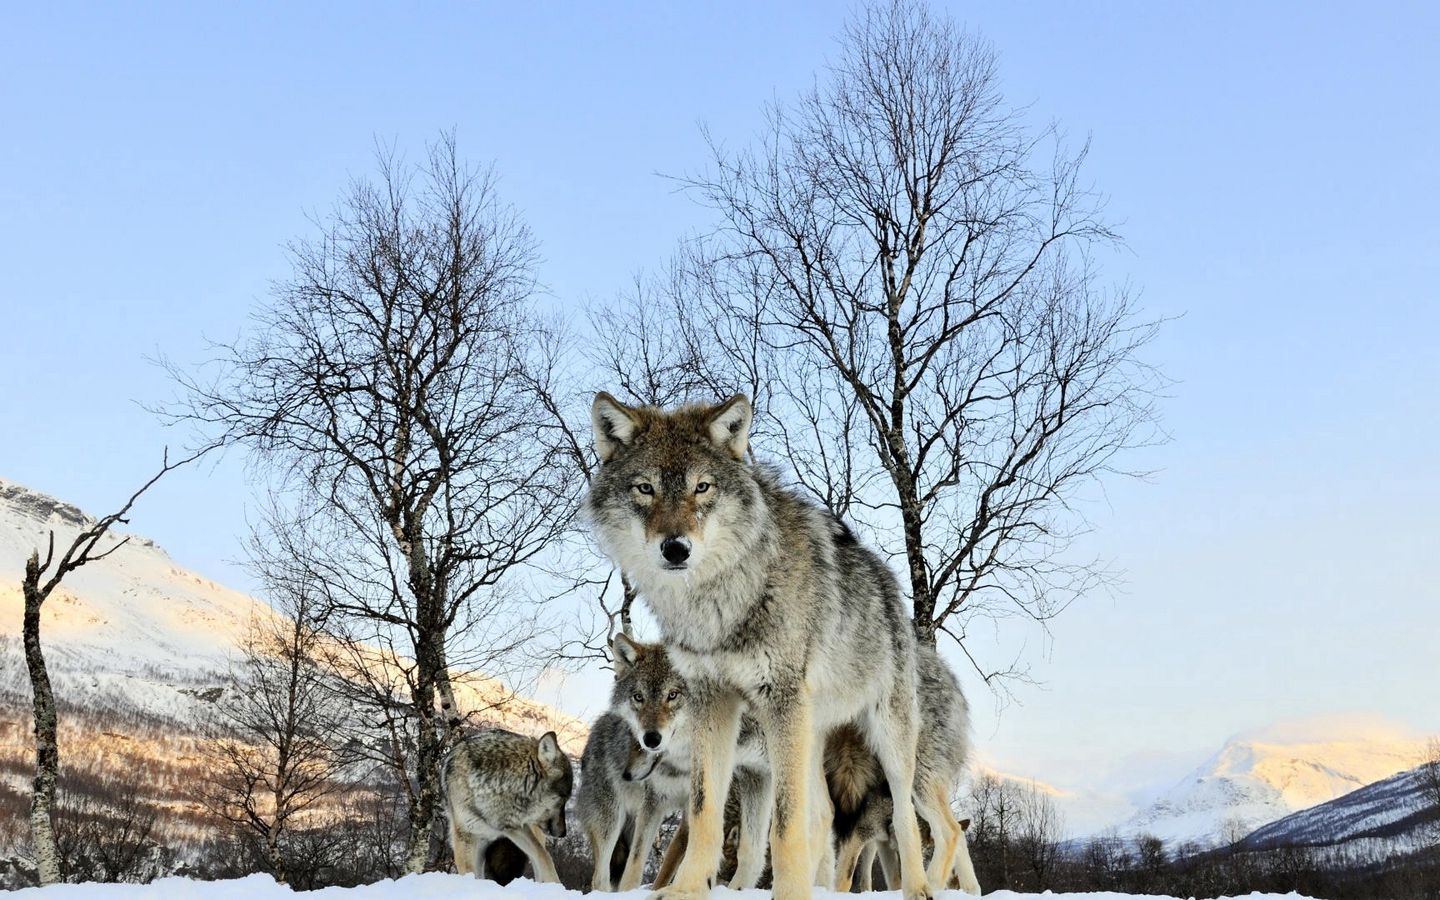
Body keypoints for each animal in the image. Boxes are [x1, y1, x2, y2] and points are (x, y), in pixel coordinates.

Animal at [441, 728, 573, 883]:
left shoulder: (517, 827)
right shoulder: (467, 838)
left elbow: (544, 857)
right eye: (563, 799)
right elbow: (471, 873)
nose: (563, 833)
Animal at [587, 393, 933, 900]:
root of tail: (886, 577)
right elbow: (704, 810)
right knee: (824, 814)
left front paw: (789, 895)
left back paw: (919, 888)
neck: (719, 602)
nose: (676, 549)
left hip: (885, 735)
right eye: (645, 488)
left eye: (702, 487)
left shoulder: (779, 701)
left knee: (904, 814)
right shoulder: (712, 700)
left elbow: (784, 824)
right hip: (810, 735)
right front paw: (686, 888)